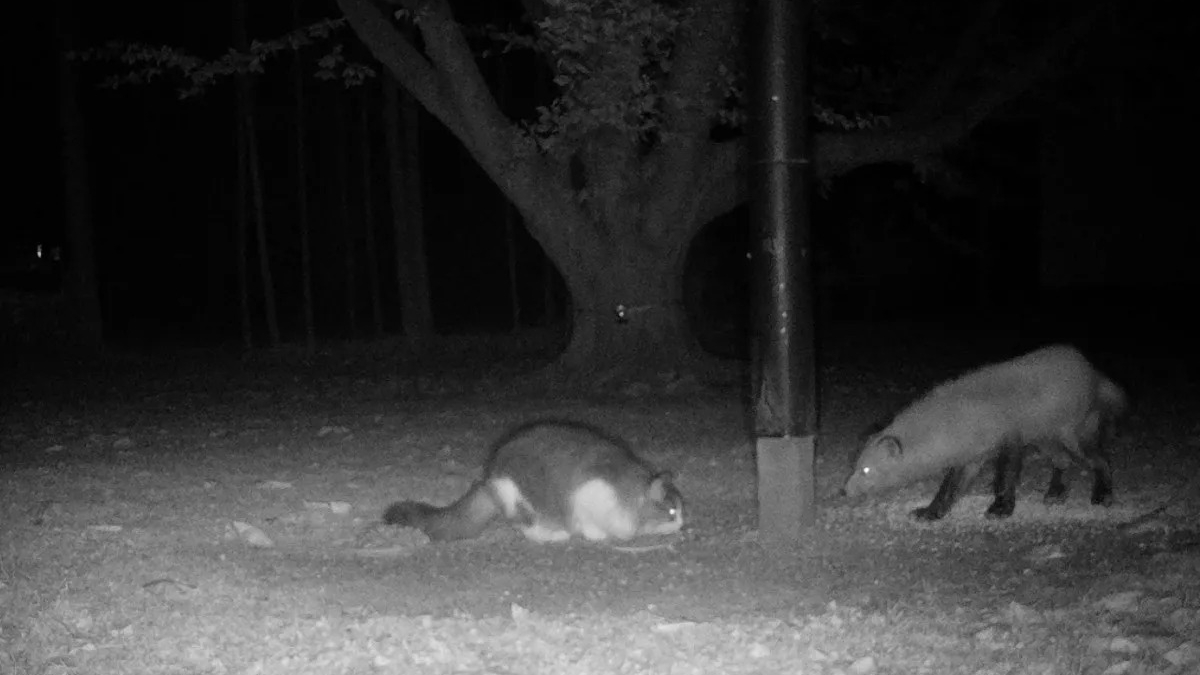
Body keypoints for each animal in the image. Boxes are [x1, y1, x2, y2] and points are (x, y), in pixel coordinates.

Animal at [383, 420, 685, 543]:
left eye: (680, 512)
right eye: (671, 512)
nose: (682, 525)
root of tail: (488, 476)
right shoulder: (587, 496)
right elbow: (589, 524)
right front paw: (596, 535)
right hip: (517, 500)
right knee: (526, 527)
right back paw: (554, 535)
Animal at [843, 345, 1127, 521]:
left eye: (866, 470)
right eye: (855, 467)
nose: (844, 491)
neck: (959, 418)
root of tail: (1091, 369)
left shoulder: (1010, 441)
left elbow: (1004, 481)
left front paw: (1001, 510)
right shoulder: (970, 458)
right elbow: (948, 491)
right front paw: (931, 514)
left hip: (1073, 439)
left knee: (1101, 461)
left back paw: (1103, 495)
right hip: (1046, 442)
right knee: (1063, 462)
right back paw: (1055, 493)